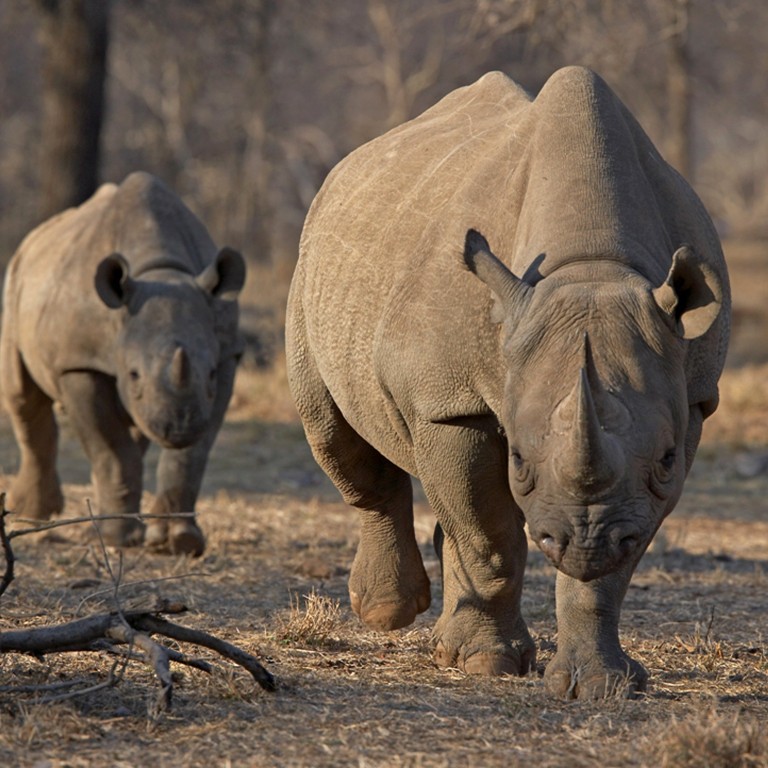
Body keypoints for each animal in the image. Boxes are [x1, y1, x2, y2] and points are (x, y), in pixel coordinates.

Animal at [0, 172, 246, 556]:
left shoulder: (226, 354)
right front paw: (118, 540)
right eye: (132, 374)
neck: (161, 272)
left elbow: (191, 456)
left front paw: (179, 542)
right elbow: (111, 451)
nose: (179, 427)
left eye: (209, 374)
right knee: (22, 397)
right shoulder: (80, 363)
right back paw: (33, 516)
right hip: (15, 280)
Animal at [286, 67, 730, 698]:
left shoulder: (689, 401)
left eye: (667, 460)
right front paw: (486, 664)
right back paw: (389, 613)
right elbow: (490, 533)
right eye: (519, 458)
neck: (591, 264)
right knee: (334, 432)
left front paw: (600, 685)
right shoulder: (449, 401)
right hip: (314, 272)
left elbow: (615, 559)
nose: (584, 541)